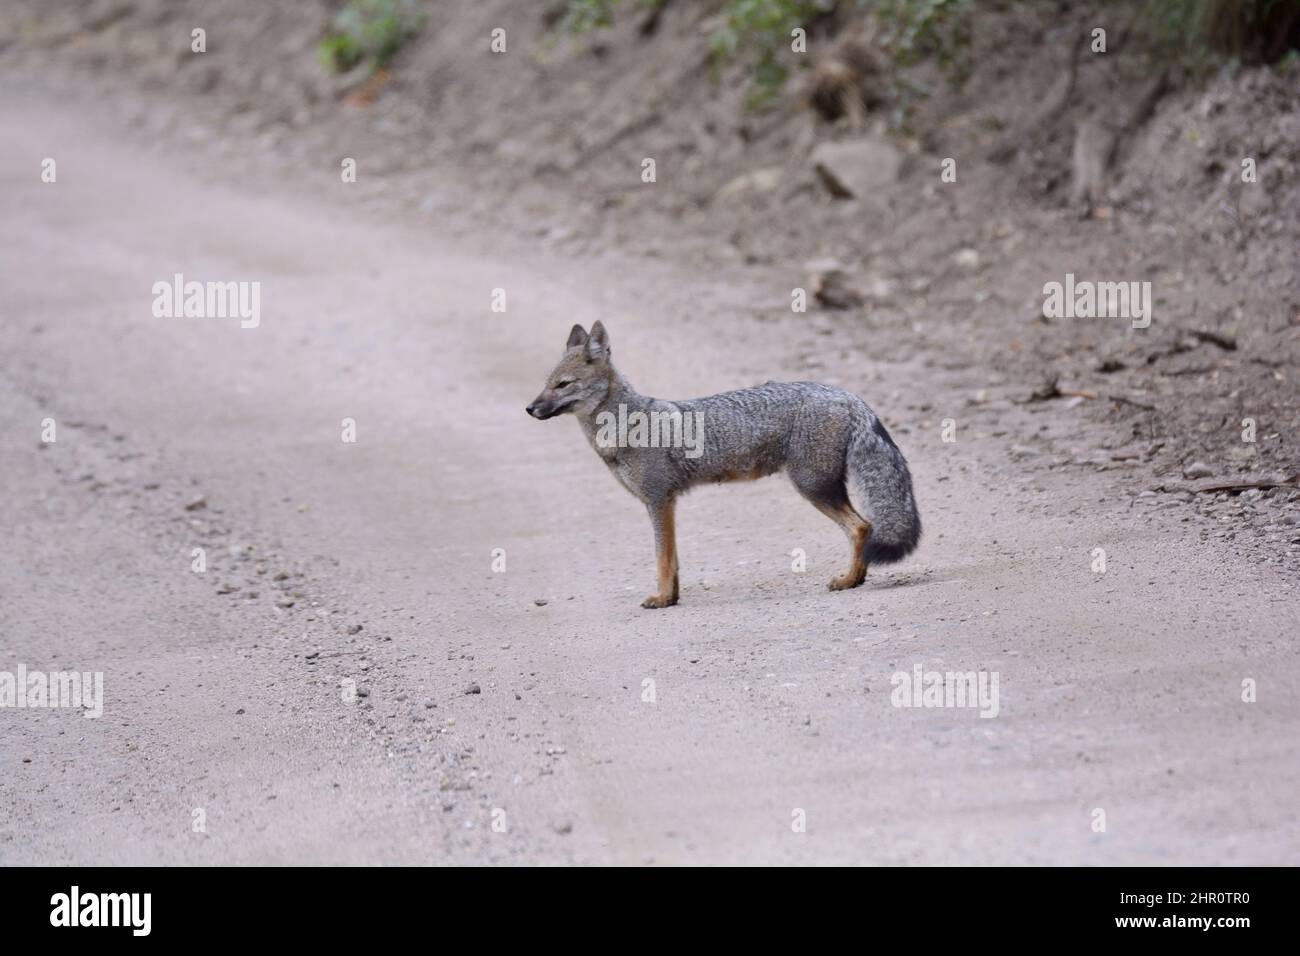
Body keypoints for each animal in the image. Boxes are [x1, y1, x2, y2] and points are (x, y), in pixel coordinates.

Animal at [526, 321, 921, 608]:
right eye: (546, 384)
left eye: (563, 385)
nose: (529, 408)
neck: (629, 423)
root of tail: (847, 395)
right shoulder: (666, 502)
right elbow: (673, 559)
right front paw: (672, 597)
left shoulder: (658, 500)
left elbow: (662, 557)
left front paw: (662, 599)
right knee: (863, 527)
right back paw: (855, 579)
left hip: (813, 488)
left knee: (861, 527)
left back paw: (848, 579)